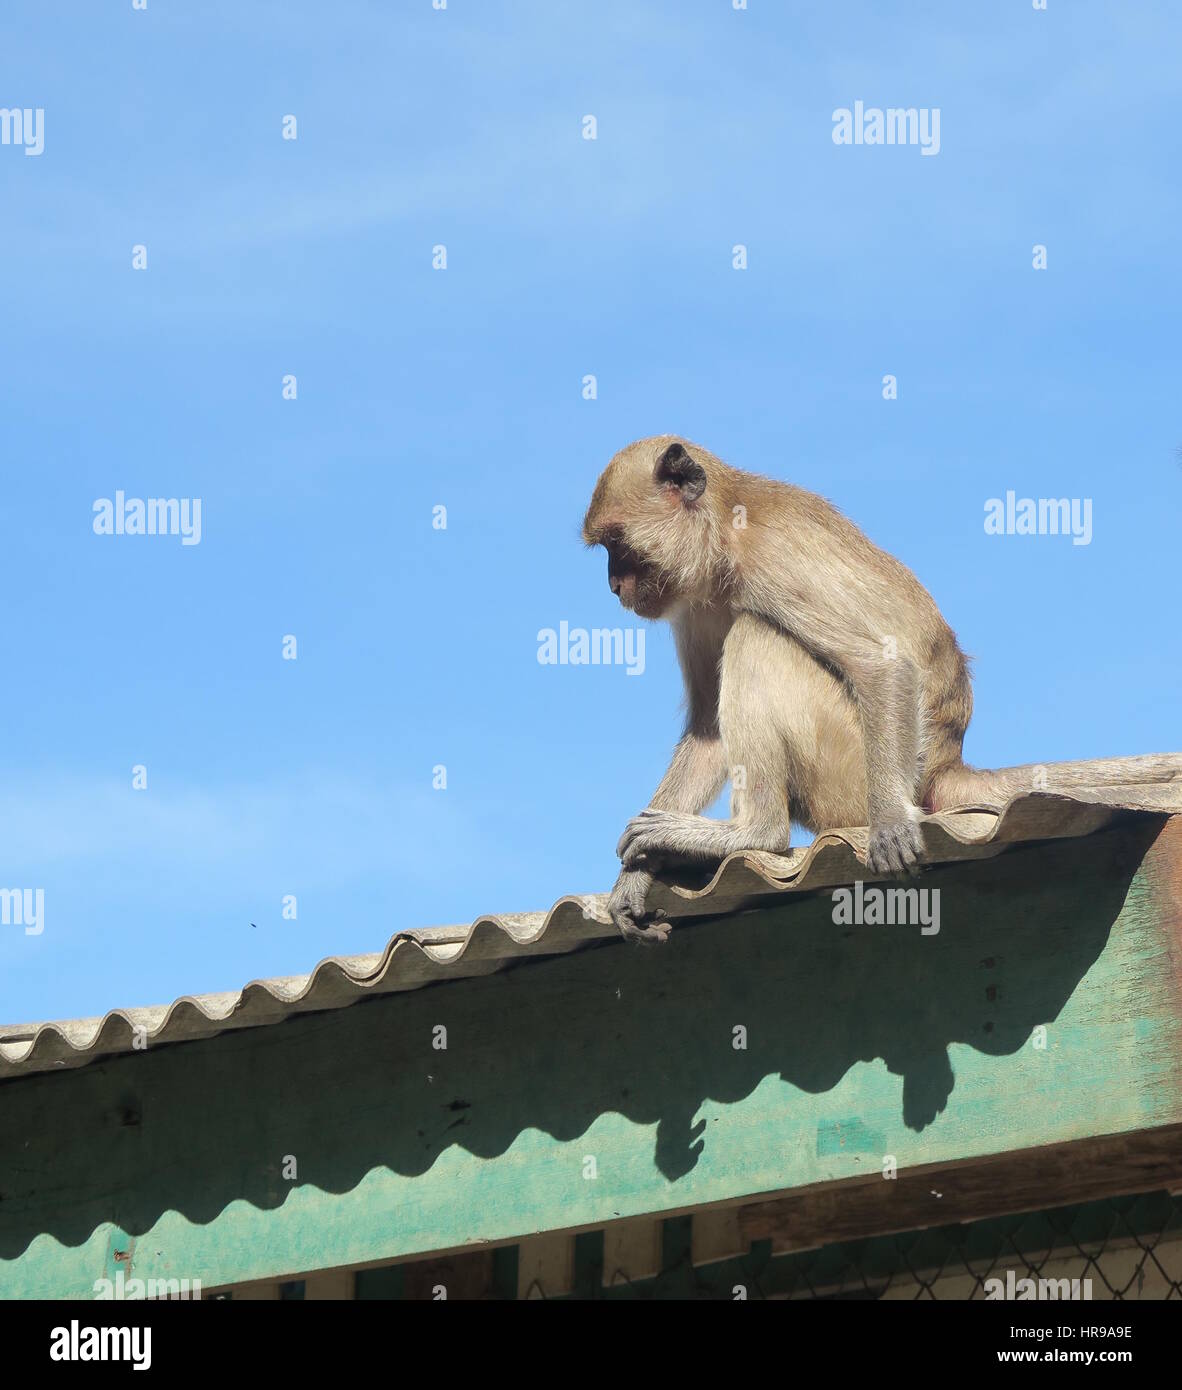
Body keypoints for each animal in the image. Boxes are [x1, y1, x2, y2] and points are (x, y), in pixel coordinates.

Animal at [583, 435, 1182, 943]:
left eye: (619, 546)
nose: (613, 585)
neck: (724, 529)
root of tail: (942, 766)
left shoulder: (774, 558)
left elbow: (882, 664)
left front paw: (891, 823)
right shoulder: (697, 596)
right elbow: (708, 727)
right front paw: (634, 879)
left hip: (849, 776)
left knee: (759, 634)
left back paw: (756, 835)